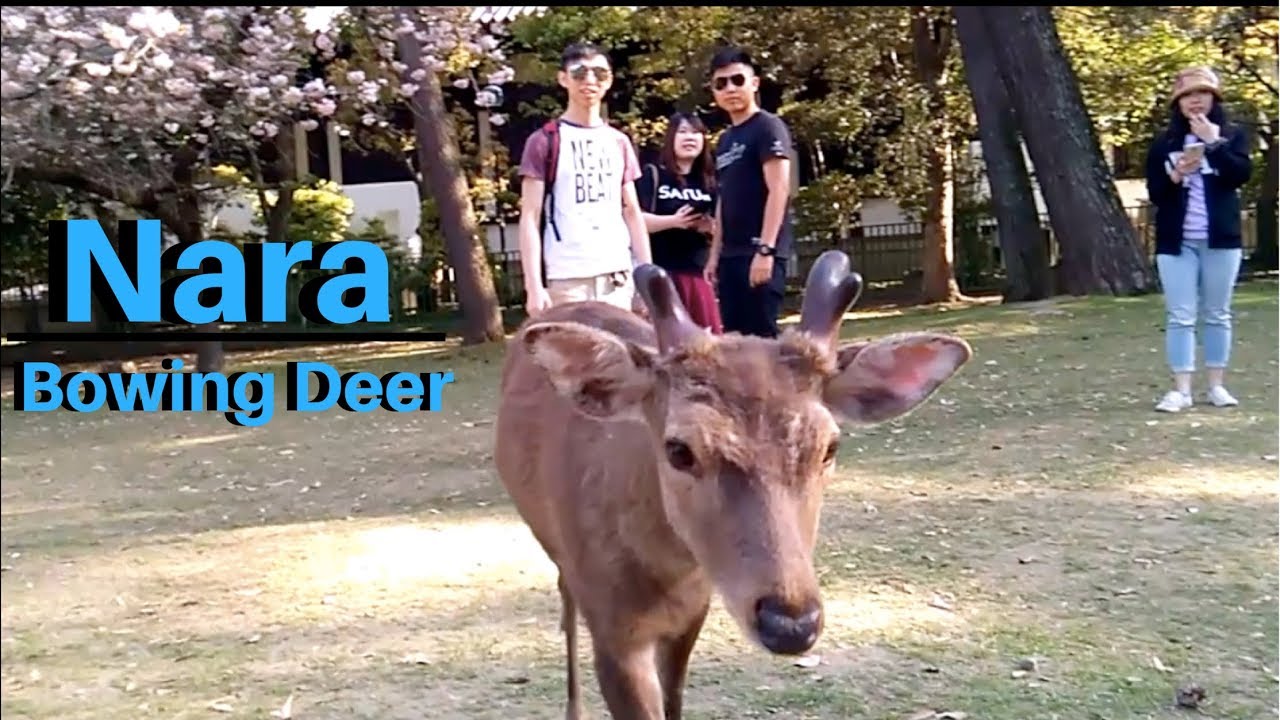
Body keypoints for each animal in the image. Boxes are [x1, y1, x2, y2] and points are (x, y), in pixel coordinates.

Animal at [493, 250, 972, 719]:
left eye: (830, 446)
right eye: (678, 449)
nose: (791, 625)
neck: (665, 578)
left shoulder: (694, 613)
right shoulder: (612, 627)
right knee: (564, 600)